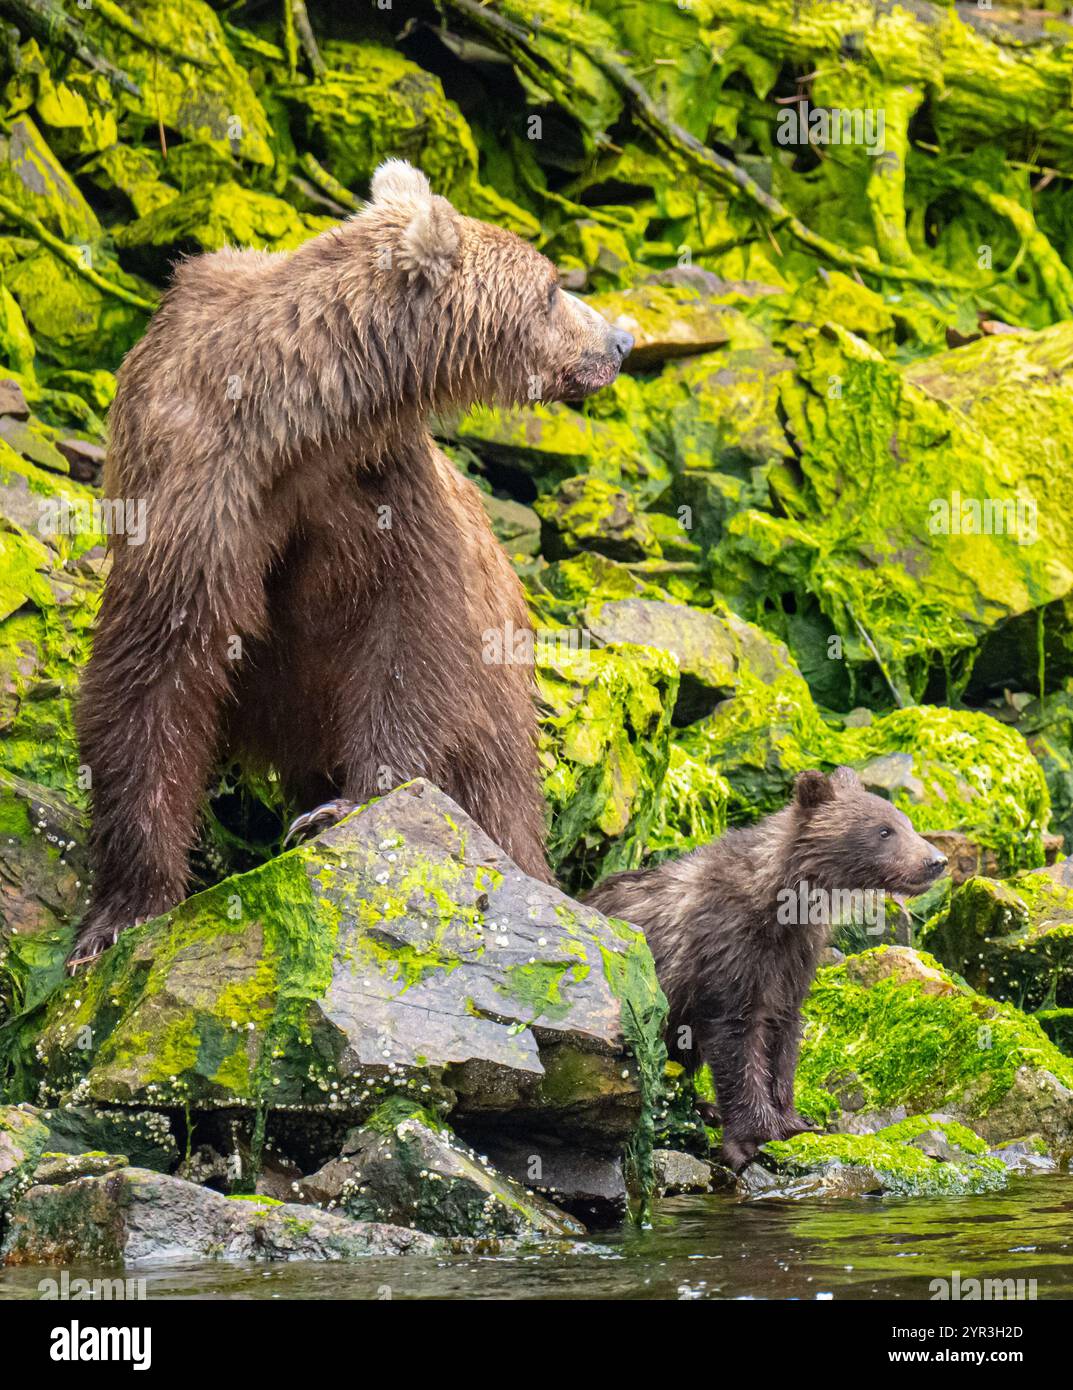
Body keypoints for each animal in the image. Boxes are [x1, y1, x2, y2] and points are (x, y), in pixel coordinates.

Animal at [69, 159, 633, 966]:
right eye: (553, 287)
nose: (618, 342)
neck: (298, 422)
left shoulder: (381, 489)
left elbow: (409, 646)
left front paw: (345, 808)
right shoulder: (193, 482)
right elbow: (154, 669)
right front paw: (121, 915)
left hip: (500, 710)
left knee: (500, 802)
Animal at [583, 767, 947, 1170]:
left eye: (906, 821)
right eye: (884, 830)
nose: (937, 861)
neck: (779, 907)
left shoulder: (793, 962)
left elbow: (782, 1037)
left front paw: (795, 1120)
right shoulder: (727, 953)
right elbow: (737, 1038)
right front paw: (754, 1136)